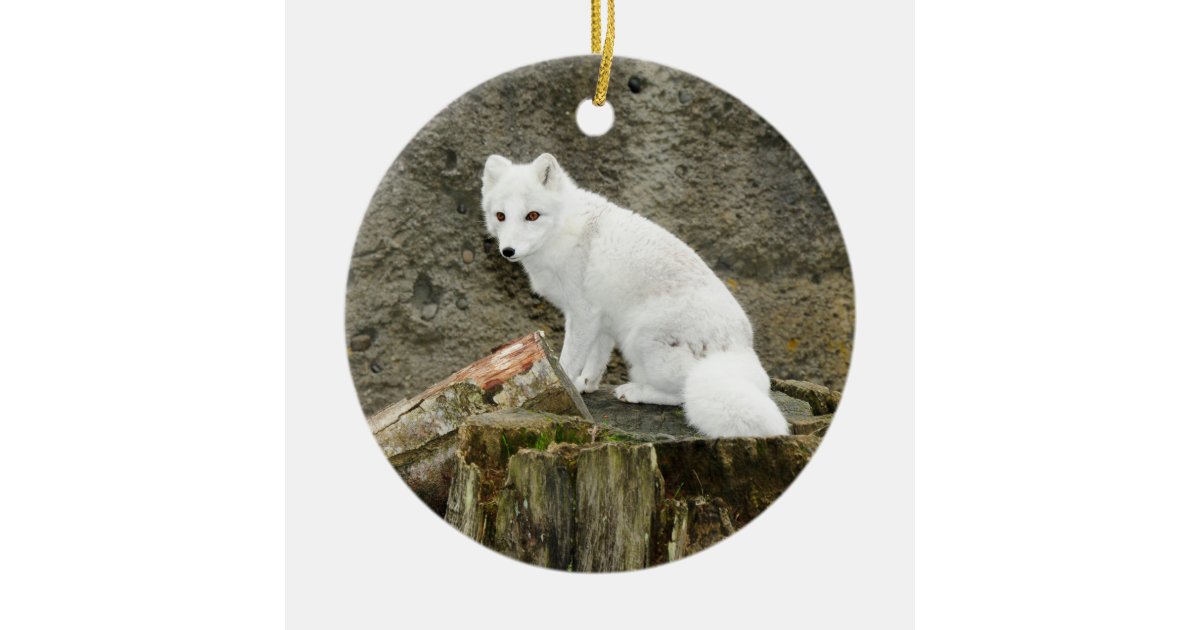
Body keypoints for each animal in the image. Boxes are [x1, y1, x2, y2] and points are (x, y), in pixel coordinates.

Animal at [480, 153, 789, 437]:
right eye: (500, 216)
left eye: (532, 215)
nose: (508, 251)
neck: (564, 230)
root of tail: (740, 350)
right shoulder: (601, 318)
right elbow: (597, 358)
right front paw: (585, 385)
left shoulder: (582, 313)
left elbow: (567, 360)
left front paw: (563, 387)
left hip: (641, 338)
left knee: (682, 395)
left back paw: (634, 392)